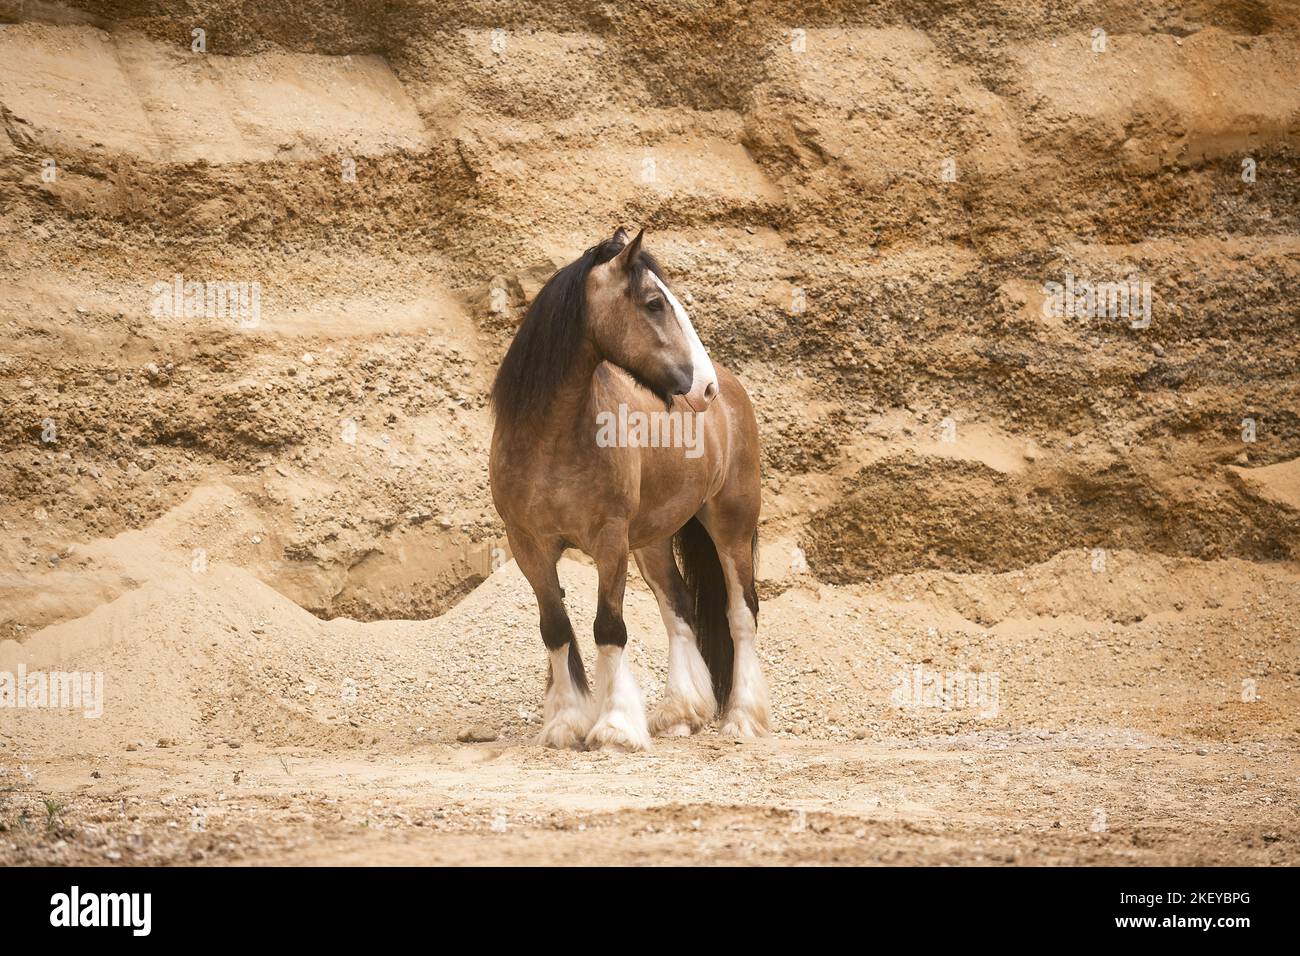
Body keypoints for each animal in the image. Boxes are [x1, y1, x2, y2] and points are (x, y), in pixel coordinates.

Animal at [488, 227, 770, 751]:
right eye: (654, 303)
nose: (703, 388)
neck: (553, 439)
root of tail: (732, 389)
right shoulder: (528, 545)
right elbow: (555, 628)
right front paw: (565, 722)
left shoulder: (609, 540)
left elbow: (608, 628)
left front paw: (615, 727)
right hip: (653, 540)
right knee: (678, 609)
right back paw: (681, 712)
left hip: (731, 526)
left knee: (741, 613)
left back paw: (743, 718)